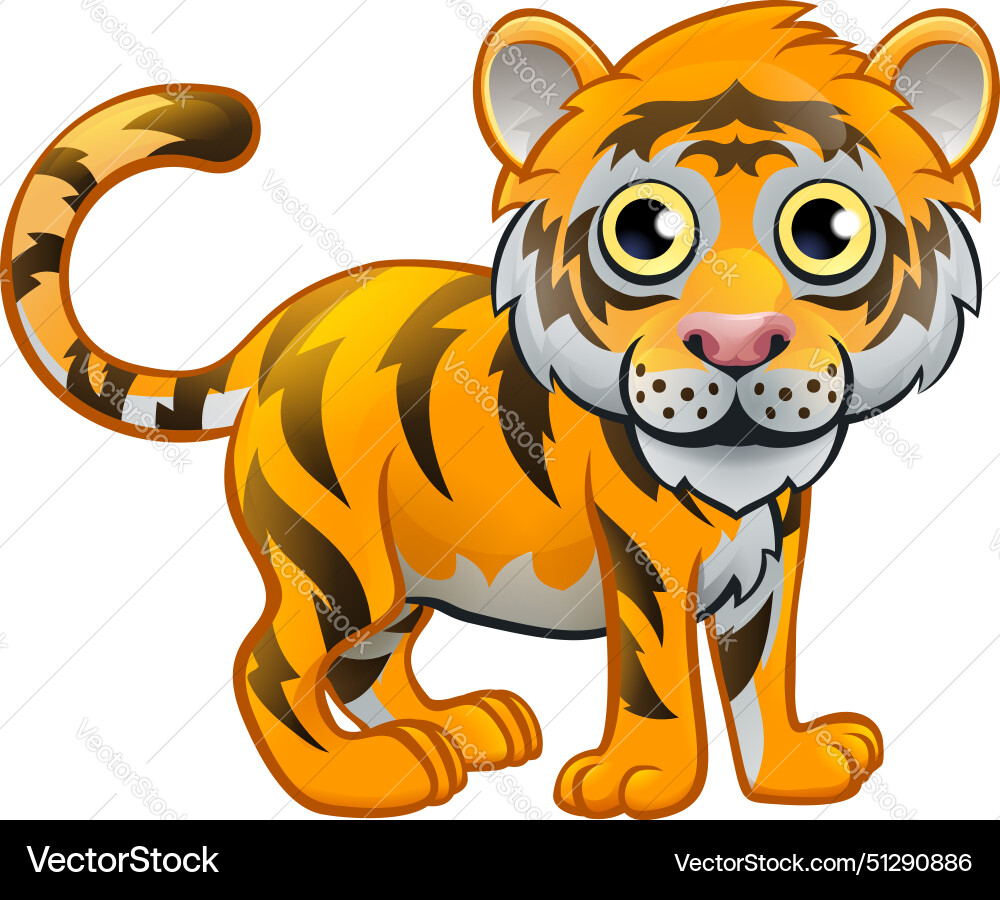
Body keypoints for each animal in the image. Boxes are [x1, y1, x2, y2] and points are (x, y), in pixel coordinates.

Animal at [3, 1, 995, 820]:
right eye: (646, 234)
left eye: (827, 232)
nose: (738, 343)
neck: (738, 465)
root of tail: (285, 324)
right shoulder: (643, 555)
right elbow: (657, 676)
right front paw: (642, 781)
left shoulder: (773, 551)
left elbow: (760, 668)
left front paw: (795, 771)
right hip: (337, 558)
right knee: (269, 663)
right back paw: (364, 775)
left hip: (398, 566)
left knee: (363, 666)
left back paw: (458, 731)